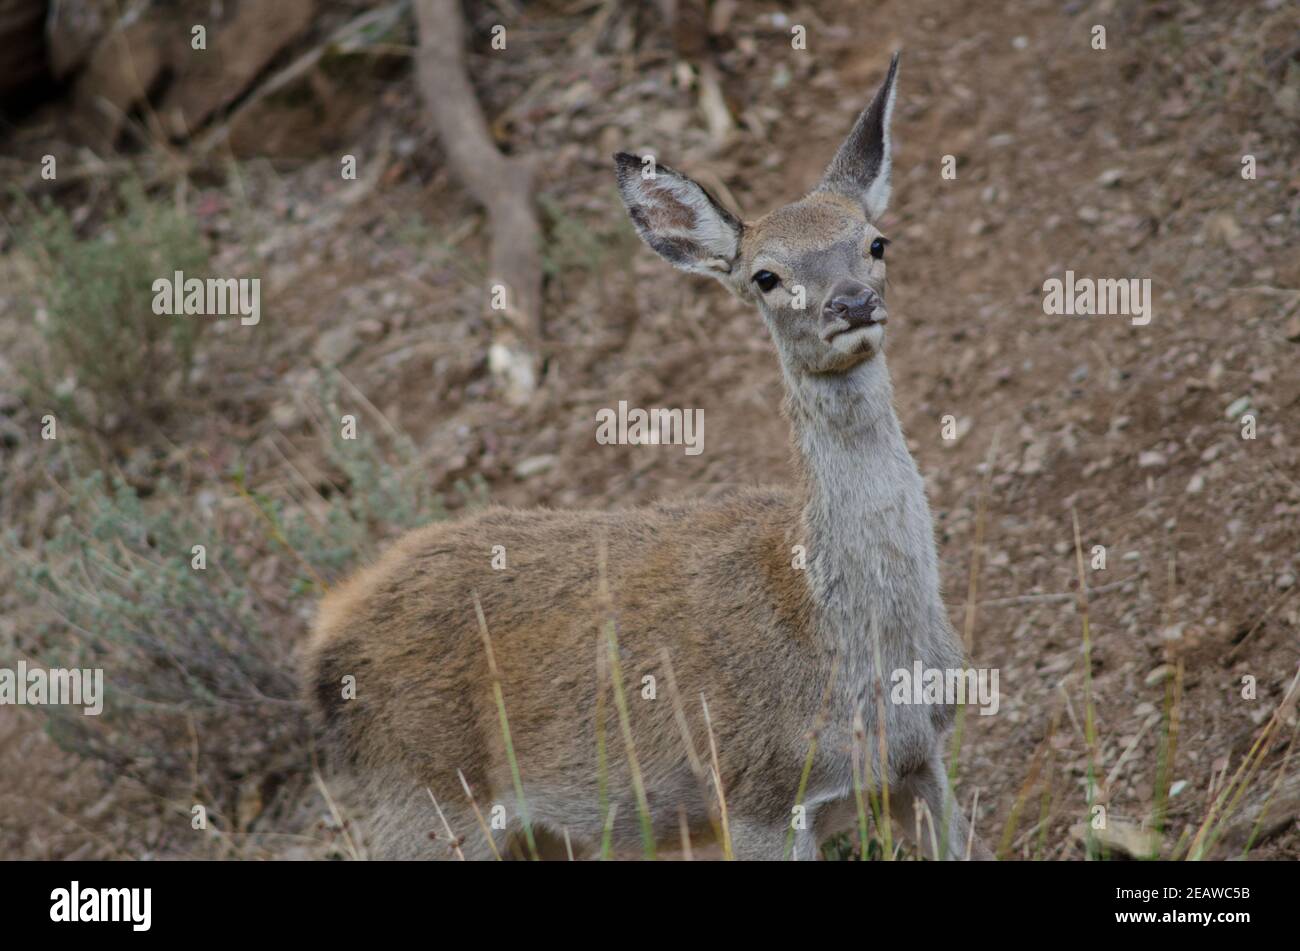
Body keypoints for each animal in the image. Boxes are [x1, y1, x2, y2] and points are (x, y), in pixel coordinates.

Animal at [304, 53, 992, 861]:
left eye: (876, 241)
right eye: (765, 276)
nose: (850, 302)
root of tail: (326, 635)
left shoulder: (924, 760)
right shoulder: (753, 795)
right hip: (427, 803)